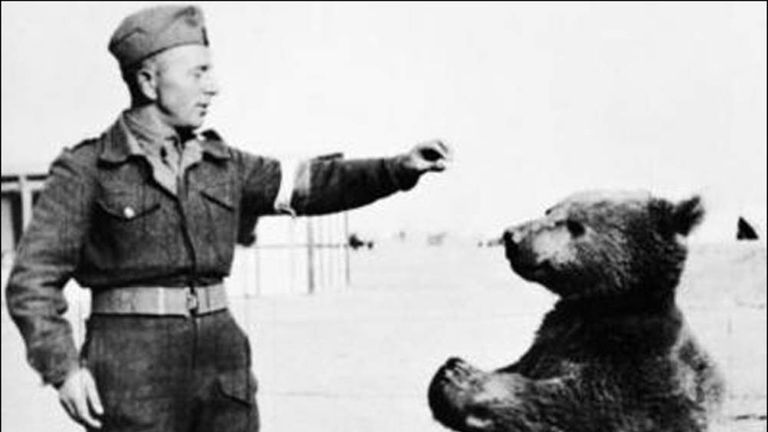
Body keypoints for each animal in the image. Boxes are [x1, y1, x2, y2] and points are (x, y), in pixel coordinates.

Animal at [428, 191, 725, 432]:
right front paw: (453, 369)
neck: (601, 305)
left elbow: (573, 404)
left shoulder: (637, 365)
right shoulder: (552, 337)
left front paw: (459, 376)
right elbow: (525, 364)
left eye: (575, 225)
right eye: (549, 210)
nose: (512, 236)